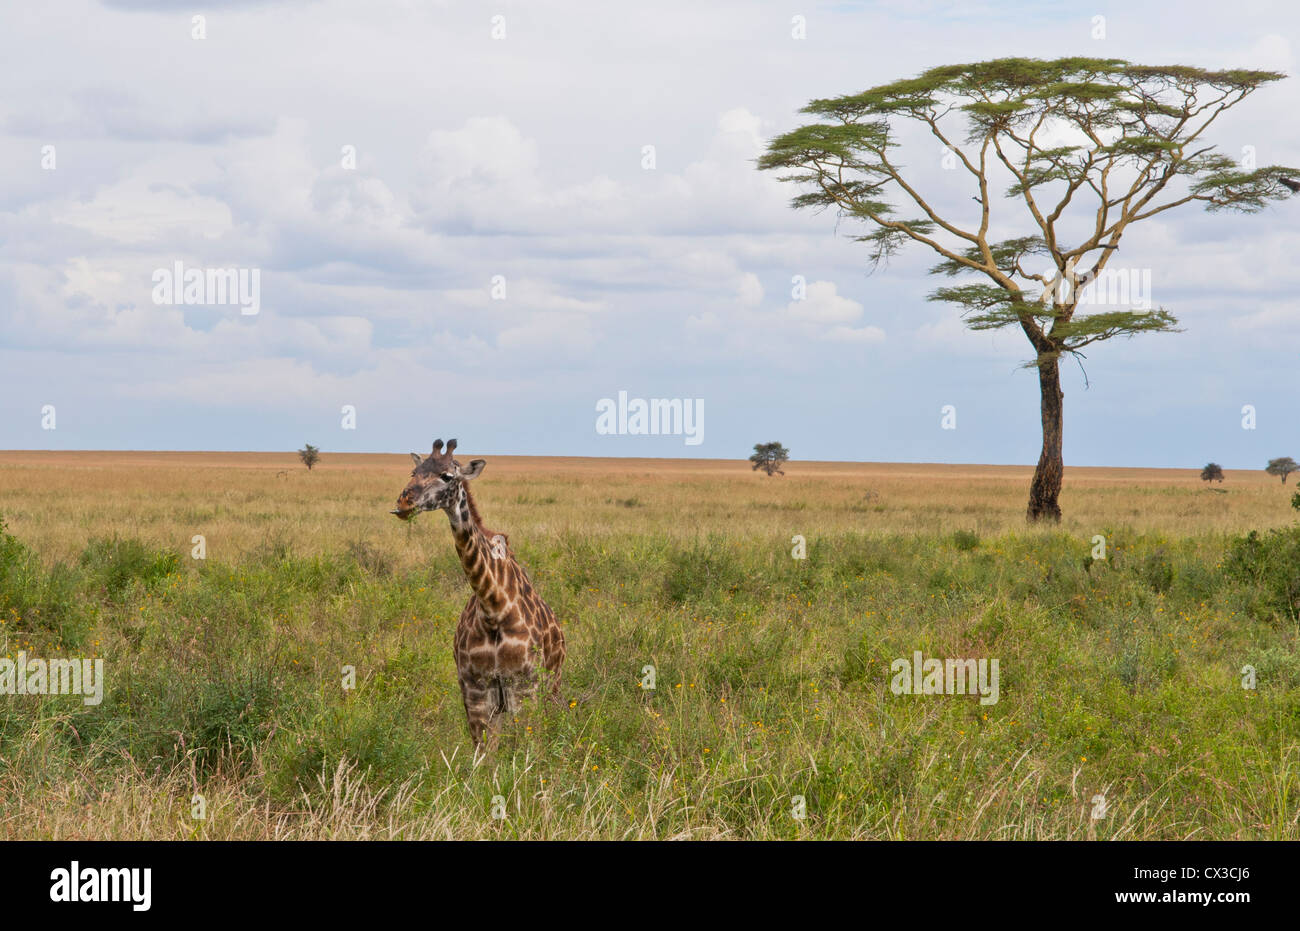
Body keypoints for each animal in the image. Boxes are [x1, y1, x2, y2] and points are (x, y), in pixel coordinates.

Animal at [391, 439, 565, 747]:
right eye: (414, 472)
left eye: (447, 476)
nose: (404, 503)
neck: (494, 606)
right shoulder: (475, 690)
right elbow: (484, 754)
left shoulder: (524, 687)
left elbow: (526, 751)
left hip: (551, 687)